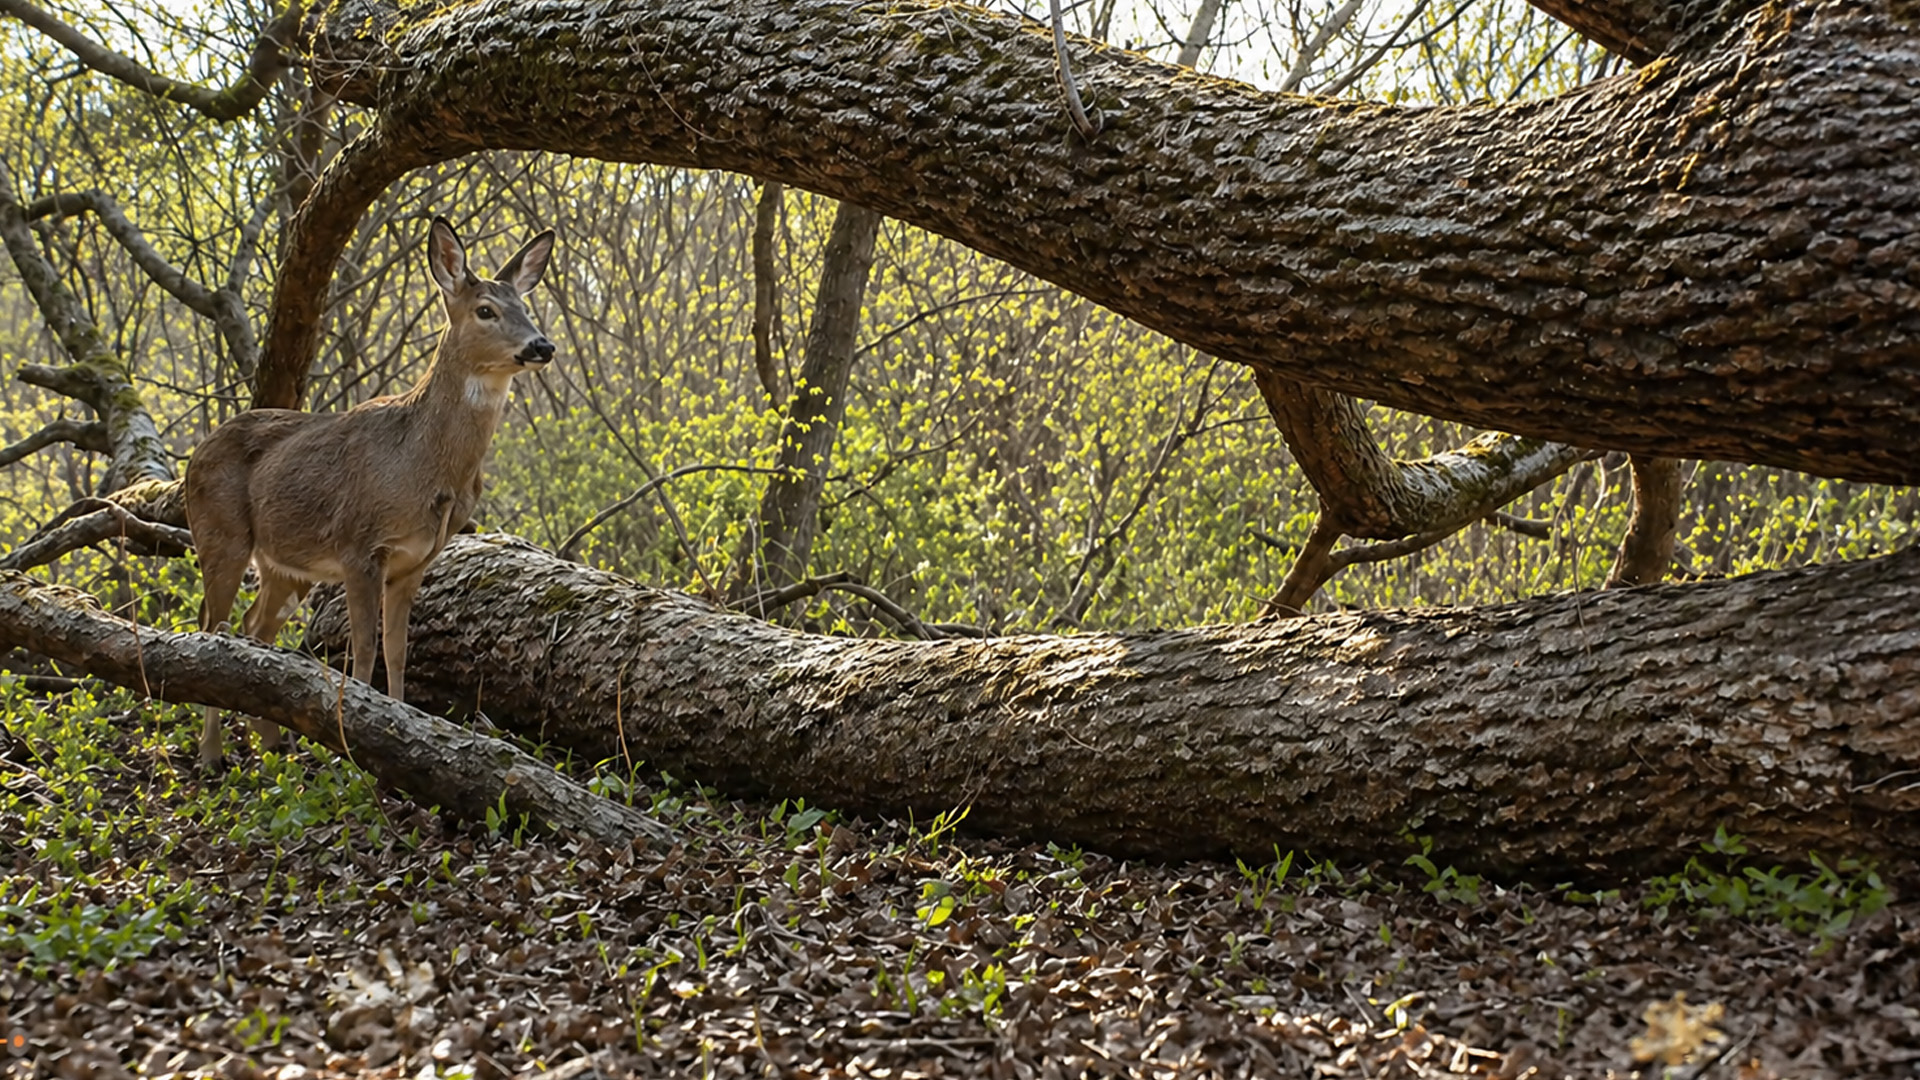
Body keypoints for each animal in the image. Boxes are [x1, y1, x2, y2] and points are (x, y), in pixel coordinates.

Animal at [186, 217, 556, 764]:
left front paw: (403, 731)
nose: (541, 346)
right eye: (486, 310)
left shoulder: (415, 561)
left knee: (255, 625)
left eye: (525, 307)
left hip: (286, 563)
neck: (424, 466)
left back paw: (271, 743)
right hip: (220, 533)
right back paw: (212, 752)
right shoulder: (359, 545)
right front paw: (351, 746)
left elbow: (397, 651)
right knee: (212, 627)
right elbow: (363, 648)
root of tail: (193, 456)